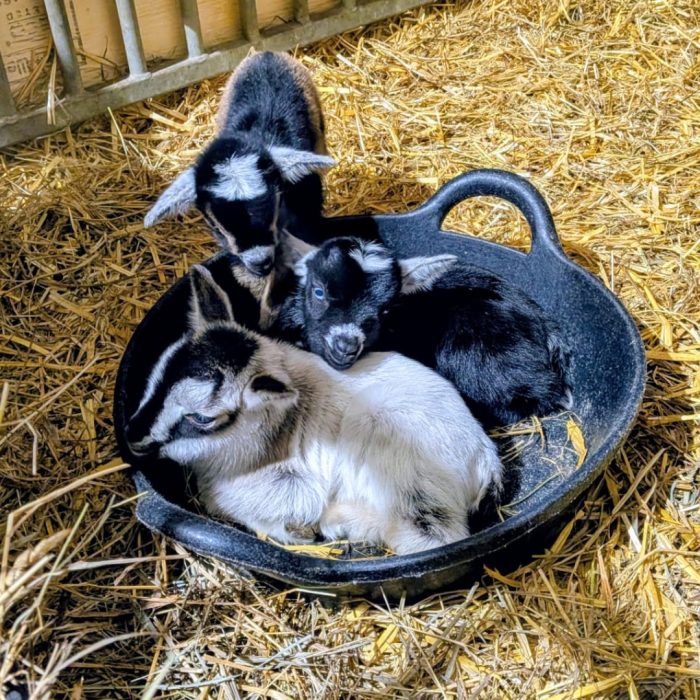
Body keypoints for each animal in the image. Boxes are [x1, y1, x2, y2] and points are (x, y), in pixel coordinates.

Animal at [125, 265, 503, 554]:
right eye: (158, 372)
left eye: (203, 417)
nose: (132, 437)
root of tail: (485, 457)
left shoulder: (293, 483)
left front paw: (299, 531)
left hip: (410, 482)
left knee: (433, 538)